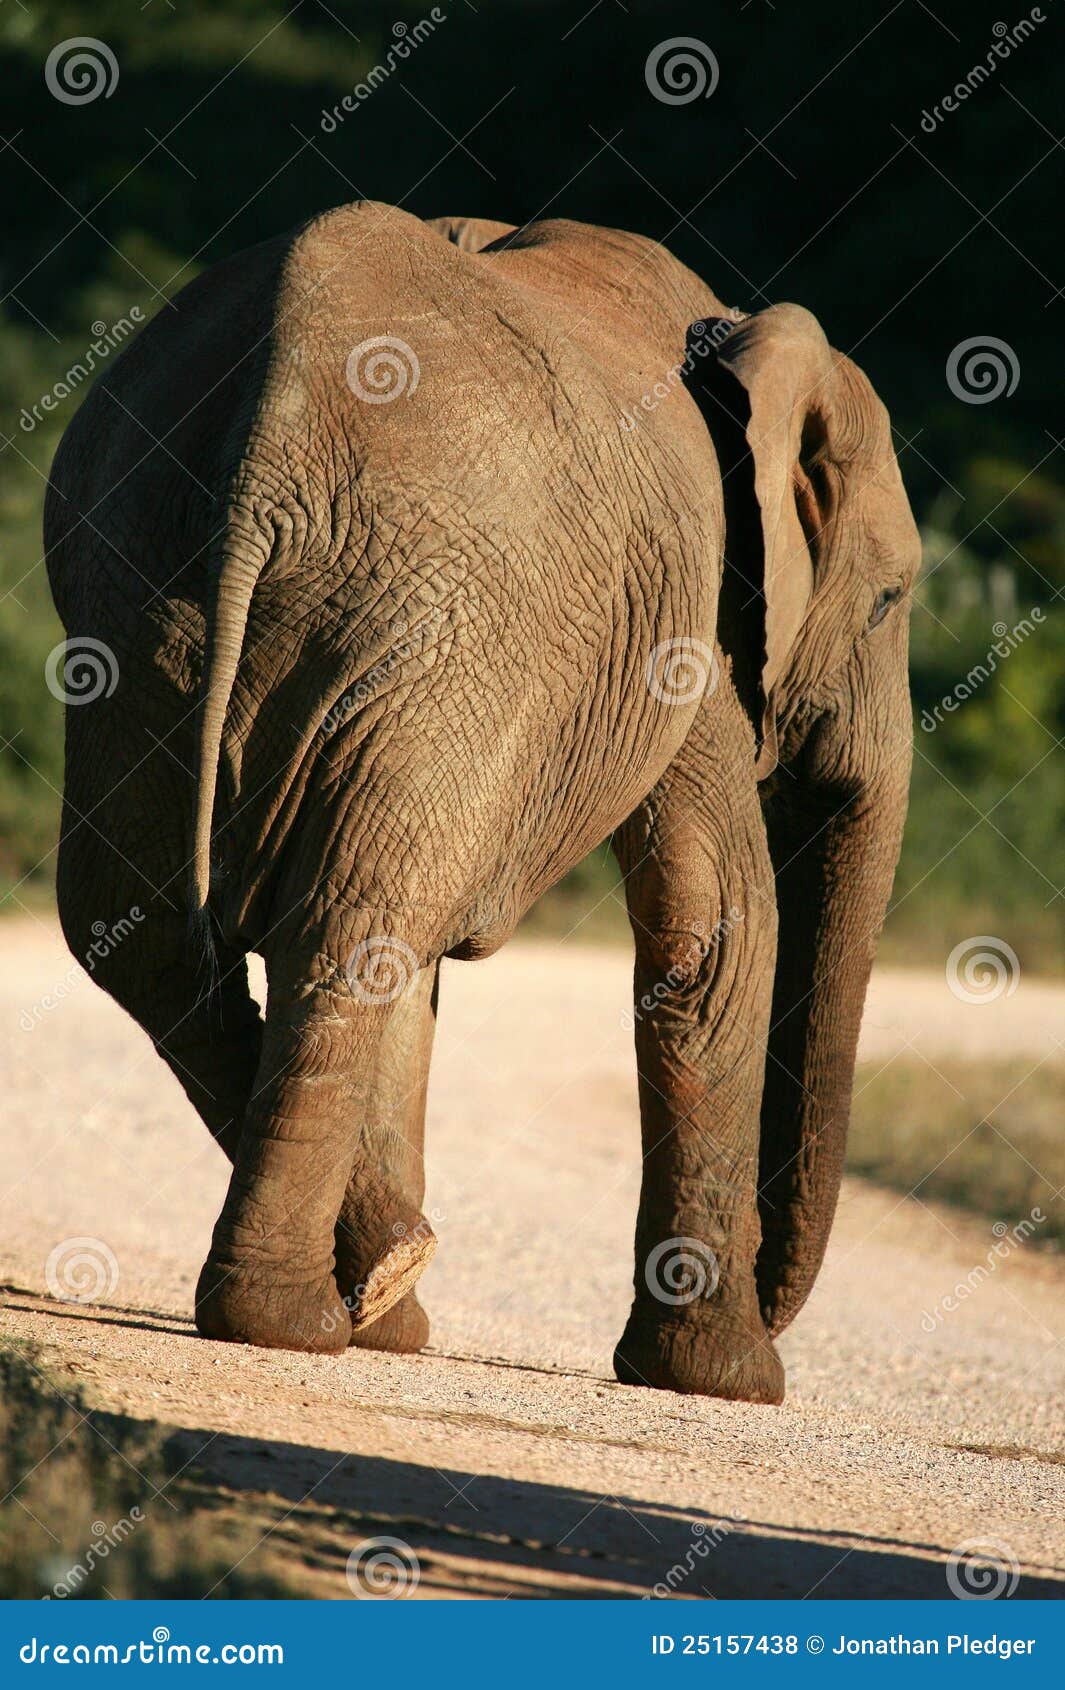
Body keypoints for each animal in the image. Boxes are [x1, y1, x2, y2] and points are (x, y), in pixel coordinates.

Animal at [44, 201, 920, 1403]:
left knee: (162, 933)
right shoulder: (688, 623)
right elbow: (714, 933)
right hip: (437, 615)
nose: (779, 1311)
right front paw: (729, 1383)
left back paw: (376, 1299)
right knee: (350, 921)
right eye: (890, 601)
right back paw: (305, 1314)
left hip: (144, 595)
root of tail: (270, 437)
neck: (741, 340)